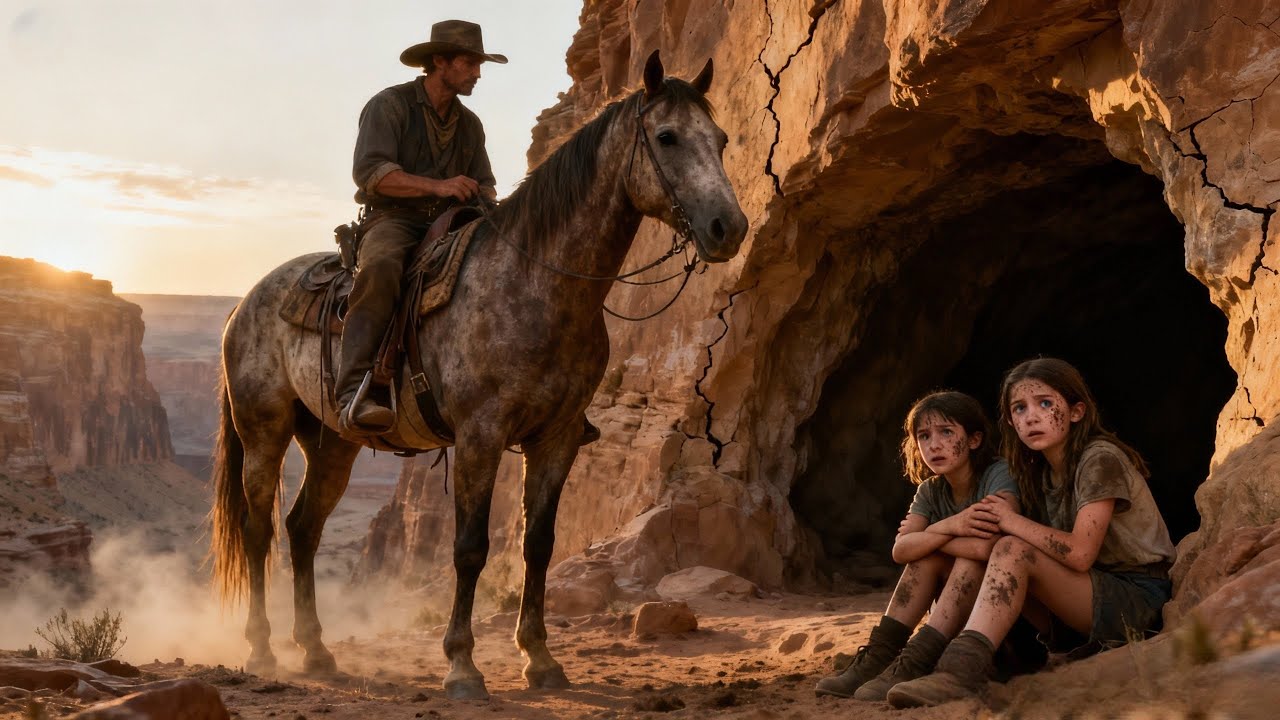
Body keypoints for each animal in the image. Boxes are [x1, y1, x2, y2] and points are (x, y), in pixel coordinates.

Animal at [210, 50, 747, 700]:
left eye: (720, 139)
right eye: (666, 137)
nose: (728, 228)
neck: (537, 283)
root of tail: (244, 303)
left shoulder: (557, 437)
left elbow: (538, 544)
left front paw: (539, 658)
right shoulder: (480, 436)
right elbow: (470, 548)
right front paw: (462, 666)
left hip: (333, 442)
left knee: (303, 528)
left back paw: (315, 651)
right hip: (263, 430)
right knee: (258, 528)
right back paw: (262, 649)